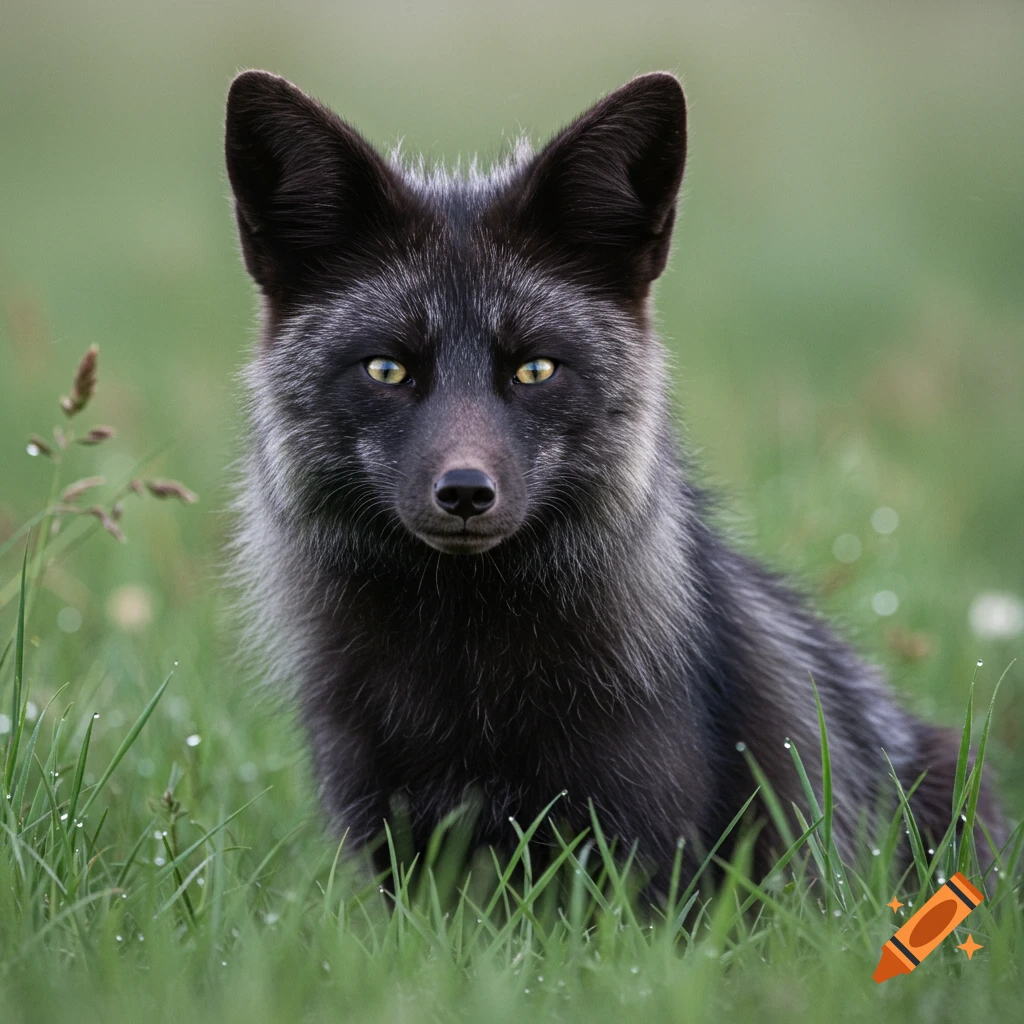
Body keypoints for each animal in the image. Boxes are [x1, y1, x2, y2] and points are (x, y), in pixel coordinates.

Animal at [224, 69, 1004, 890]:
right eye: (387, 369)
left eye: (535, 369)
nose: (465, 493)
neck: (464, 665)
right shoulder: (392, 838)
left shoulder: (642, 847)